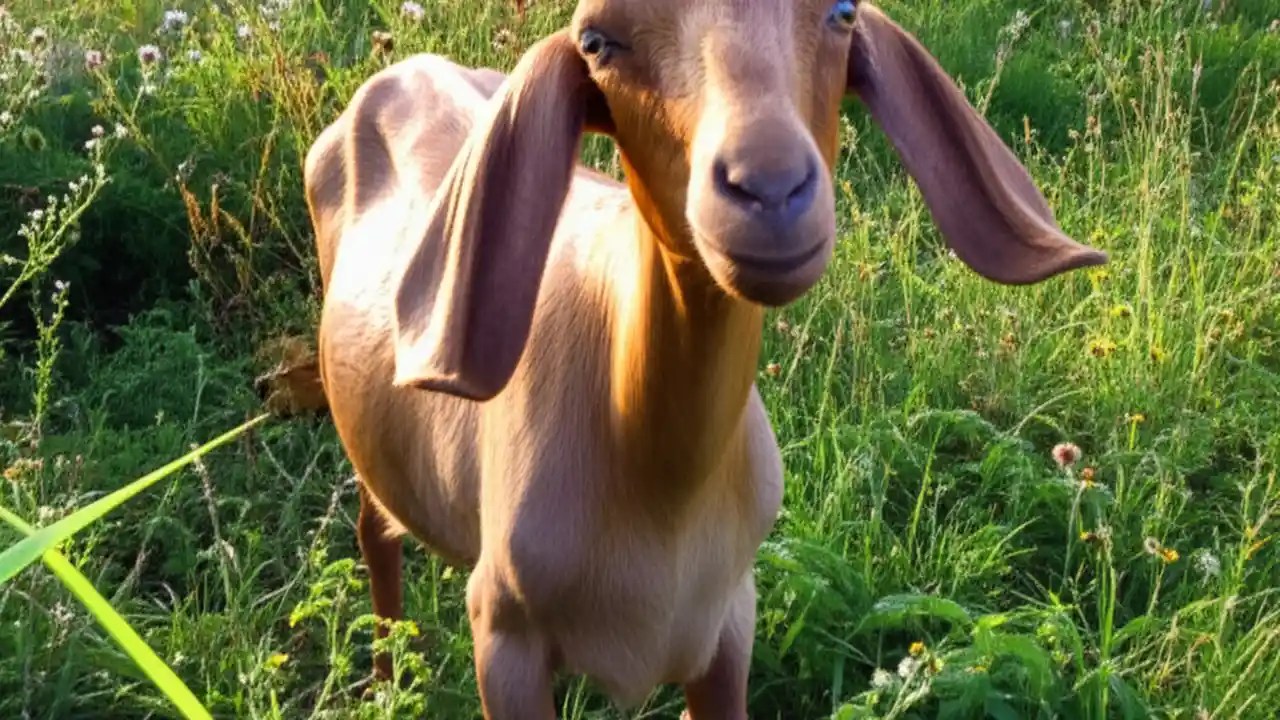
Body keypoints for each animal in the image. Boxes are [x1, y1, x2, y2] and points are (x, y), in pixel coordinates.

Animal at [301, 1, 1106, 717]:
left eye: (843, 13)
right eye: (595, 41)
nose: (769, 188)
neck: (660, 484)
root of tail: (404, 68)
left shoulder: (727, 624)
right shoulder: (504, 634)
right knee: (374, 532)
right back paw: (382, 684)